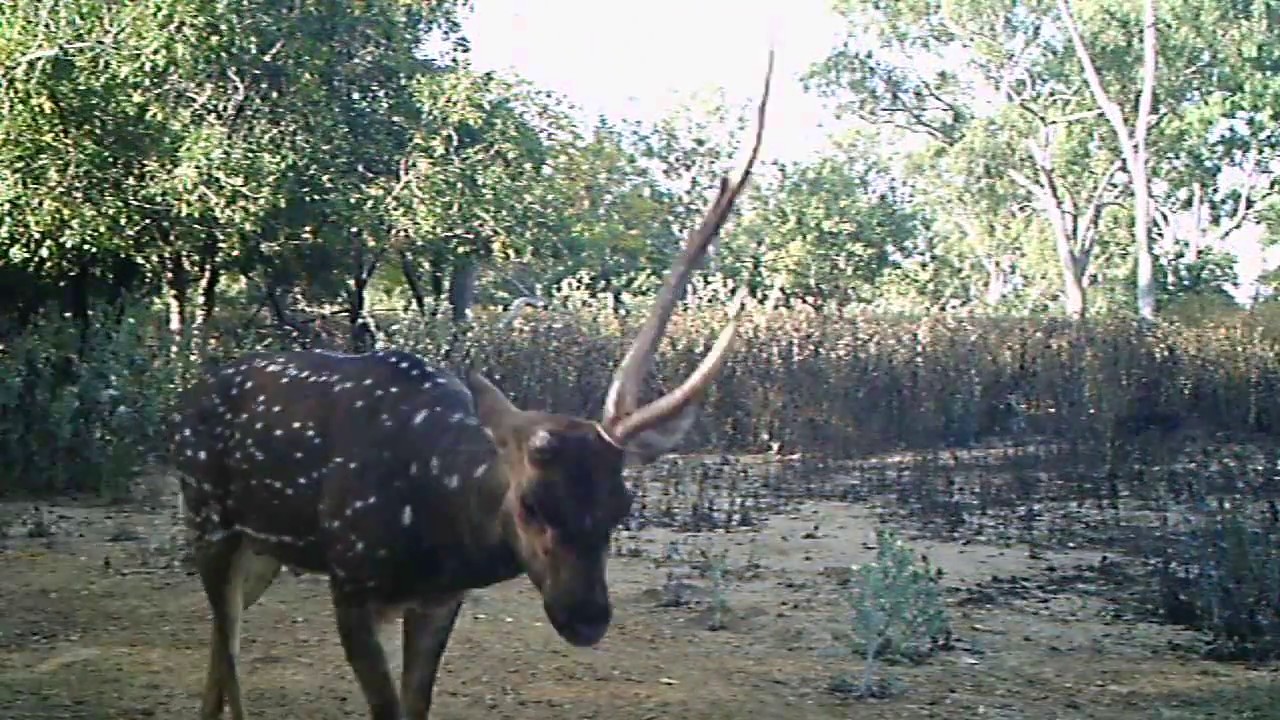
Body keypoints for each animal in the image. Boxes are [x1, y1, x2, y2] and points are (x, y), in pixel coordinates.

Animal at [167, 51, 772, 720]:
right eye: (531, 502)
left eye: (623, 506)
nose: (587, 617)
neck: (436, 532)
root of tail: (181, 403)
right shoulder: (350, 584)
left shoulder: (439, 600)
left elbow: (417, 705)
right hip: (206, 515)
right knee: (225, 640)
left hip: (265, 548)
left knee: (222, 639)